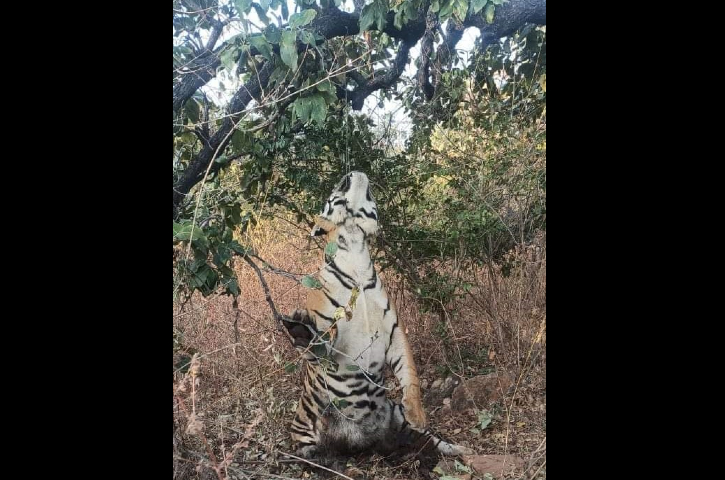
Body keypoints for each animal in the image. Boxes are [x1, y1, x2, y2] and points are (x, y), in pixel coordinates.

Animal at [282, 171, 474, 459]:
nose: (351, 172)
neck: (355, 250)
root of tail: (365, 445)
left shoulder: (394, 332)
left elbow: (411, 374)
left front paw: (418, 412)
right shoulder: (329, 335)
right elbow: (317, 347)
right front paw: (301, 330)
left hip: (397, 416)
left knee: (431, 441)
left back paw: (461, 450)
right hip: (304, 431)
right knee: (313, 451)